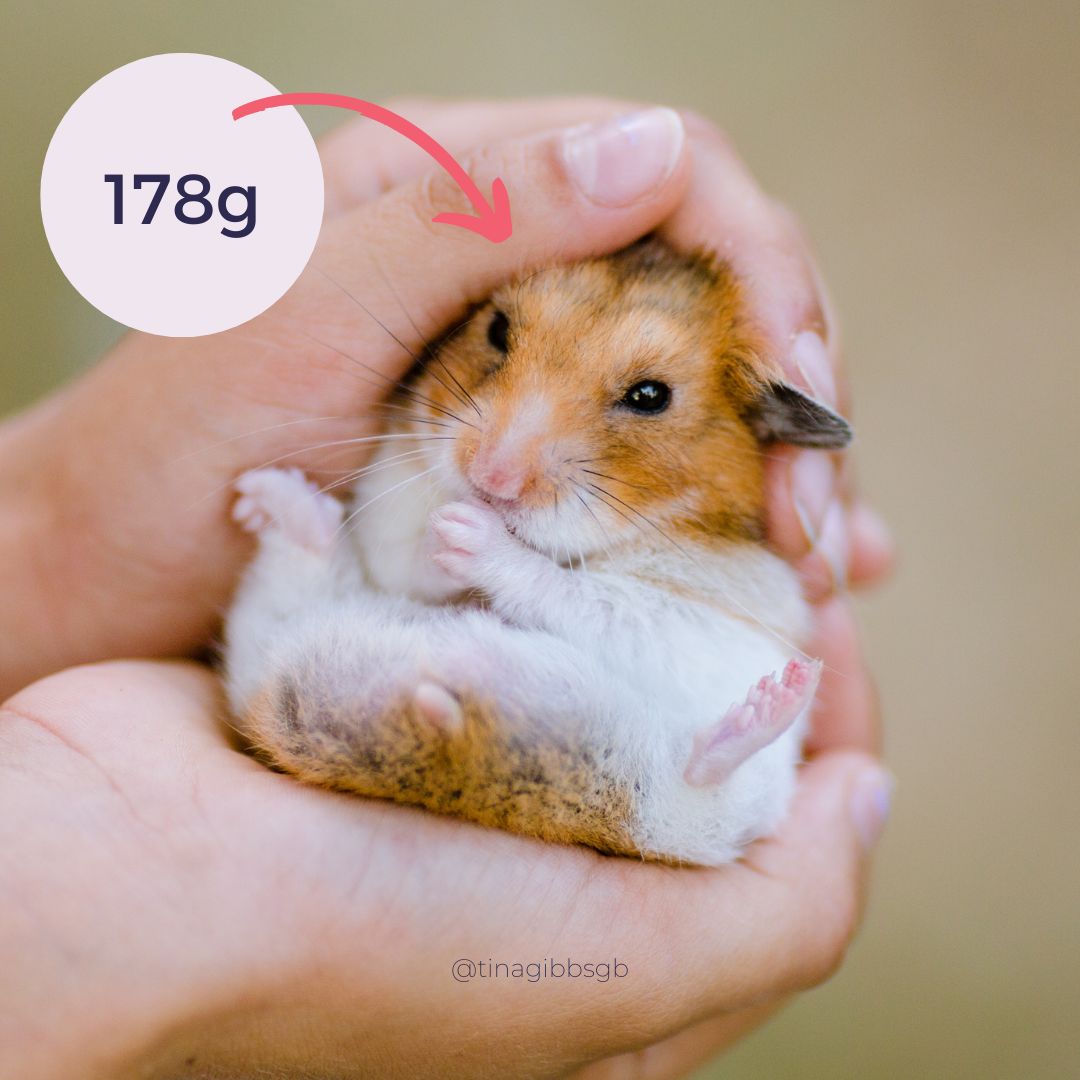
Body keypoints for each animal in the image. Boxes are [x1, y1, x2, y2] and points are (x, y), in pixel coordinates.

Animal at [223, 237, 852, 866]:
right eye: (497, 329)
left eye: (651, 396)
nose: (488, 479)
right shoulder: (388, 508)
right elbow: (405, 558)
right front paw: (447, 527)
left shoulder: (701, 621)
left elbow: (579, 593)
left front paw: (466, 533)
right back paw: (270, 500)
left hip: (711, 805)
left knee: (701, 777)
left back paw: (779, 696)